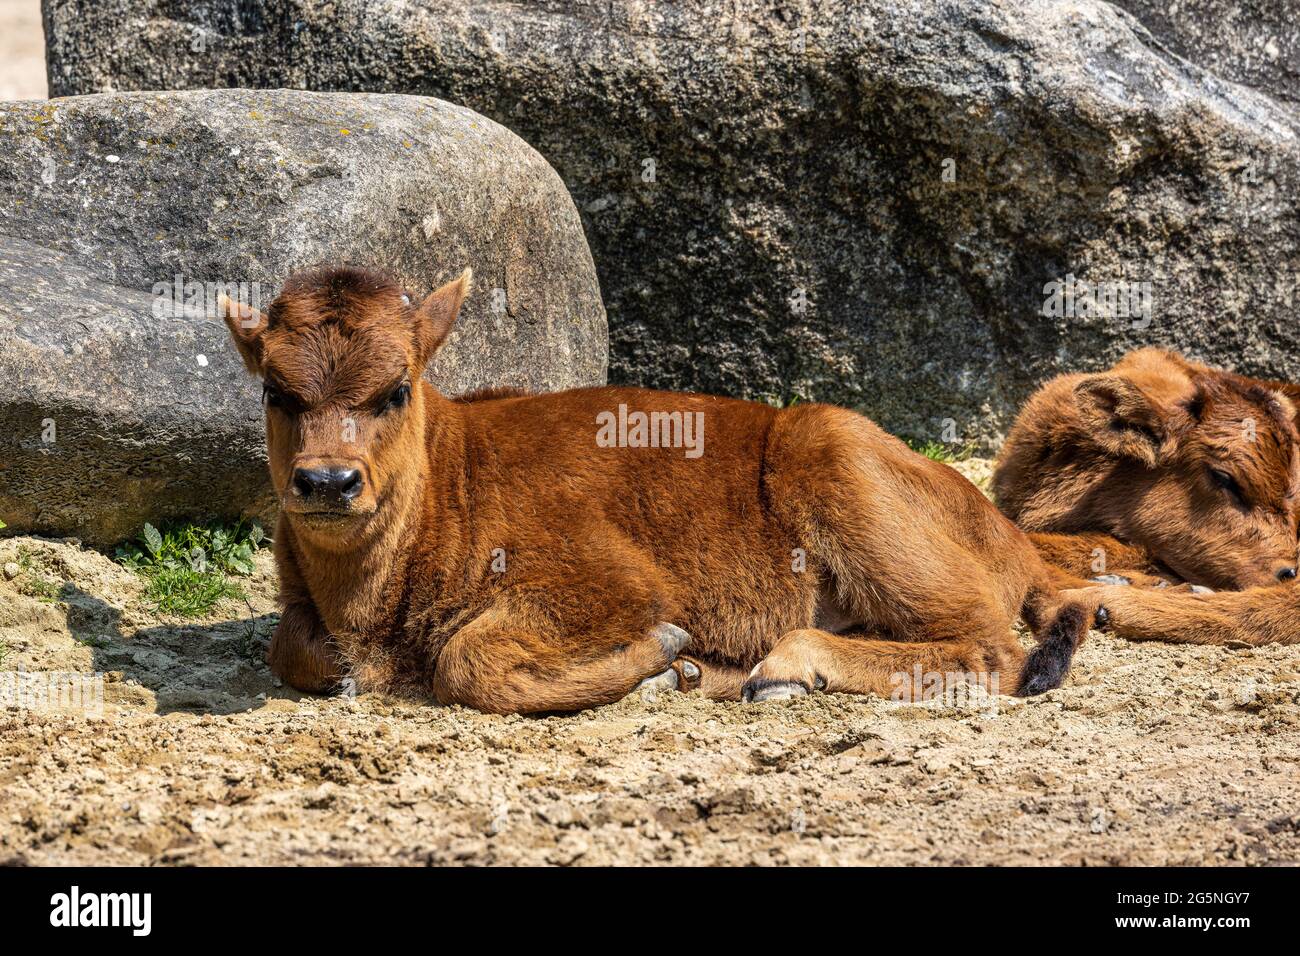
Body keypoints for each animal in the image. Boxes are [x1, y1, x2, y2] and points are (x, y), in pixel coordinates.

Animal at [221, 265, 1092, 713]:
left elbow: (468, 660)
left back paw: (778, 667)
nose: (326, 481)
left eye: (397, 388)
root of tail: (1007, 529)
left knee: (987, 647)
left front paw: (663, 652)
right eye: (275, 391)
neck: (449, 478)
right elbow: (291, 646)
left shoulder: (609, 585)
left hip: (837, 460)